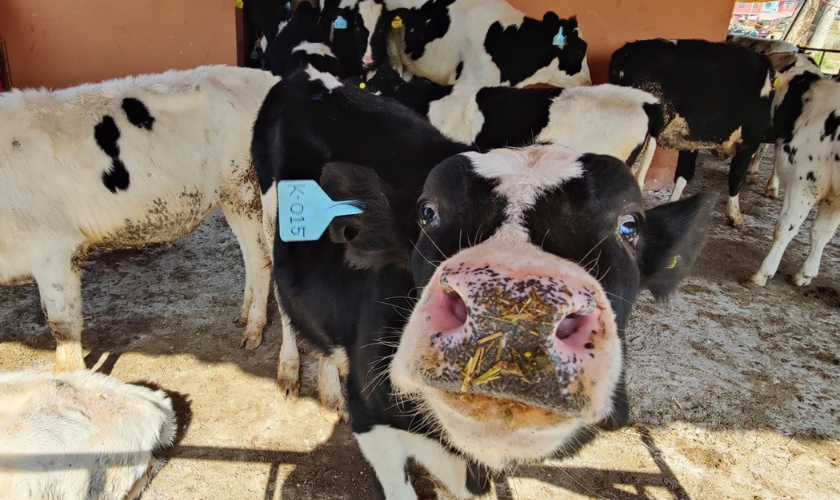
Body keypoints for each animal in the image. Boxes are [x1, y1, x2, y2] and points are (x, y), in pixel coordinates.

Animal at [0, 66, 279, 372]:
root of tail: (267, 77)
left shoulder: (54, 250)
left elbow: (63, 326)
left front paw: (70, 374)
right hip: (229, 195)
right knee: (249, 254)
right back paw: (244, 313)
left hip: (245, 188)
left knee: (261, 258)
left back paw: (253, 329)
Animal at [610, 39, 774, 227]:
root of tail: (627, 51)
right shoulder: (749, 142)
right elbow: (736, 178)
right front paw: (735, 215)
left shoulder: (690, 142)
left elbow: (684, 174)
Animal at [750, 53, 840, 287]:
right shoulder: (834, 195)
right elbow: (822, 232)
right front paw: (805, 273)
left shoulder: (805, 180)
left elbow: (786, 226)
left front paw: (764, 272)